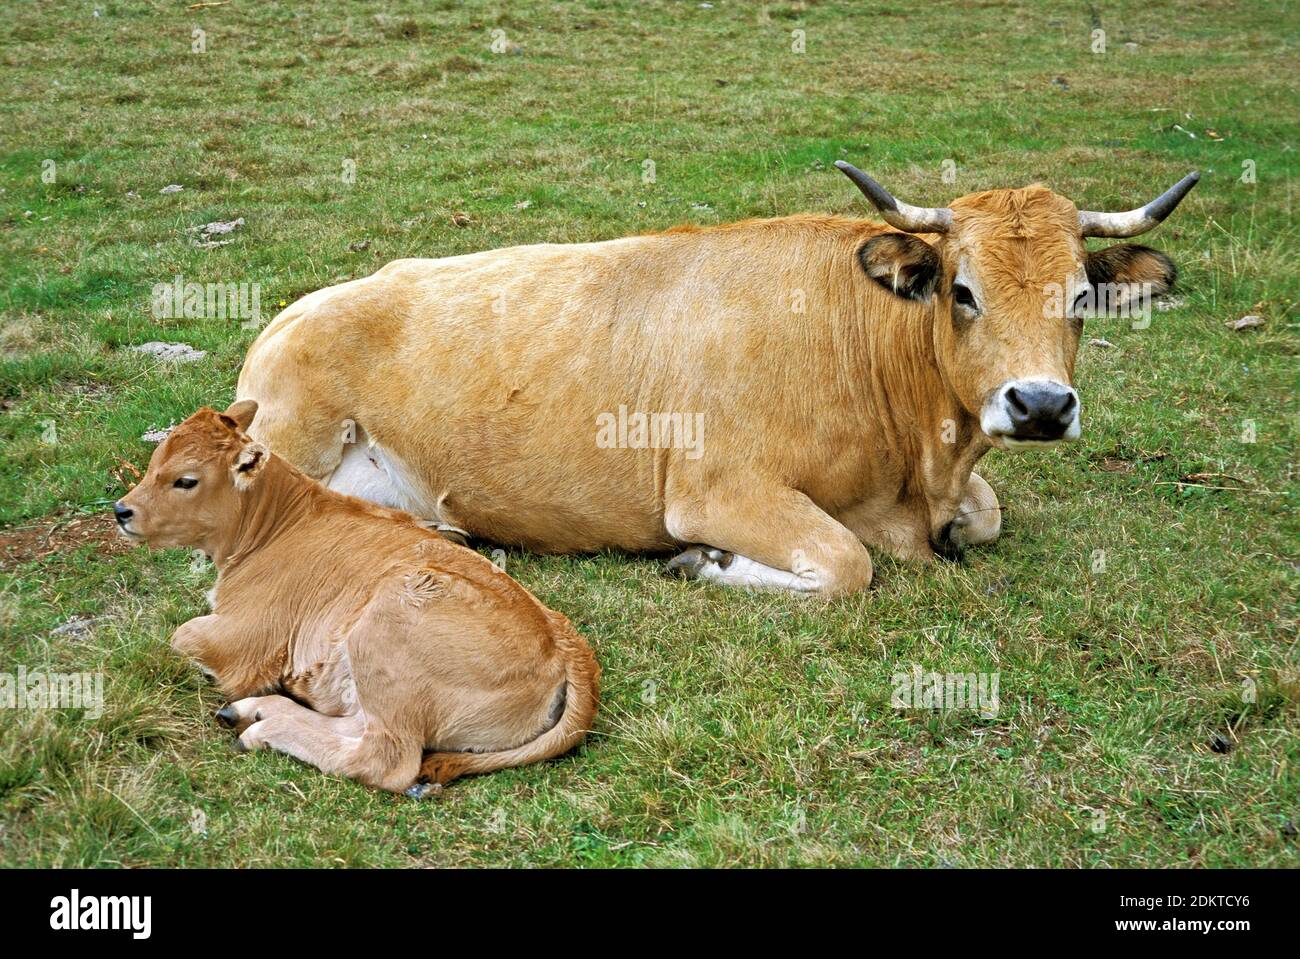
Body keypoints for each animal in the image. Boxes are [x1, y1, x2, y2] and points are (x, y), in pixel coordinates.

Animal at [113, 401, 600, 794]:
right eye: (154, 462)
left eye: (185, 480)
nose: (122, 511)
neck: (272, 525)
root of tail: (563, 641)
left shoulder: (245, 639)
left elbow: (182, 635)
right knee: (357, 723)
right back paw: (253, 712)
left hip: (388, 627)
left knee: (384, 758)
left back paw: (262, 729)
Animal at [235, 163, 1198, 597]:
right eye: (963, 292)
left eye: (1080, 296)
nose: (1040, 404)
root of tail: (292, 312)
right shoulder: (717, 488)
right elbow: (845, 564)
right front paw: (707, 560)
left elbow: (988, 515)